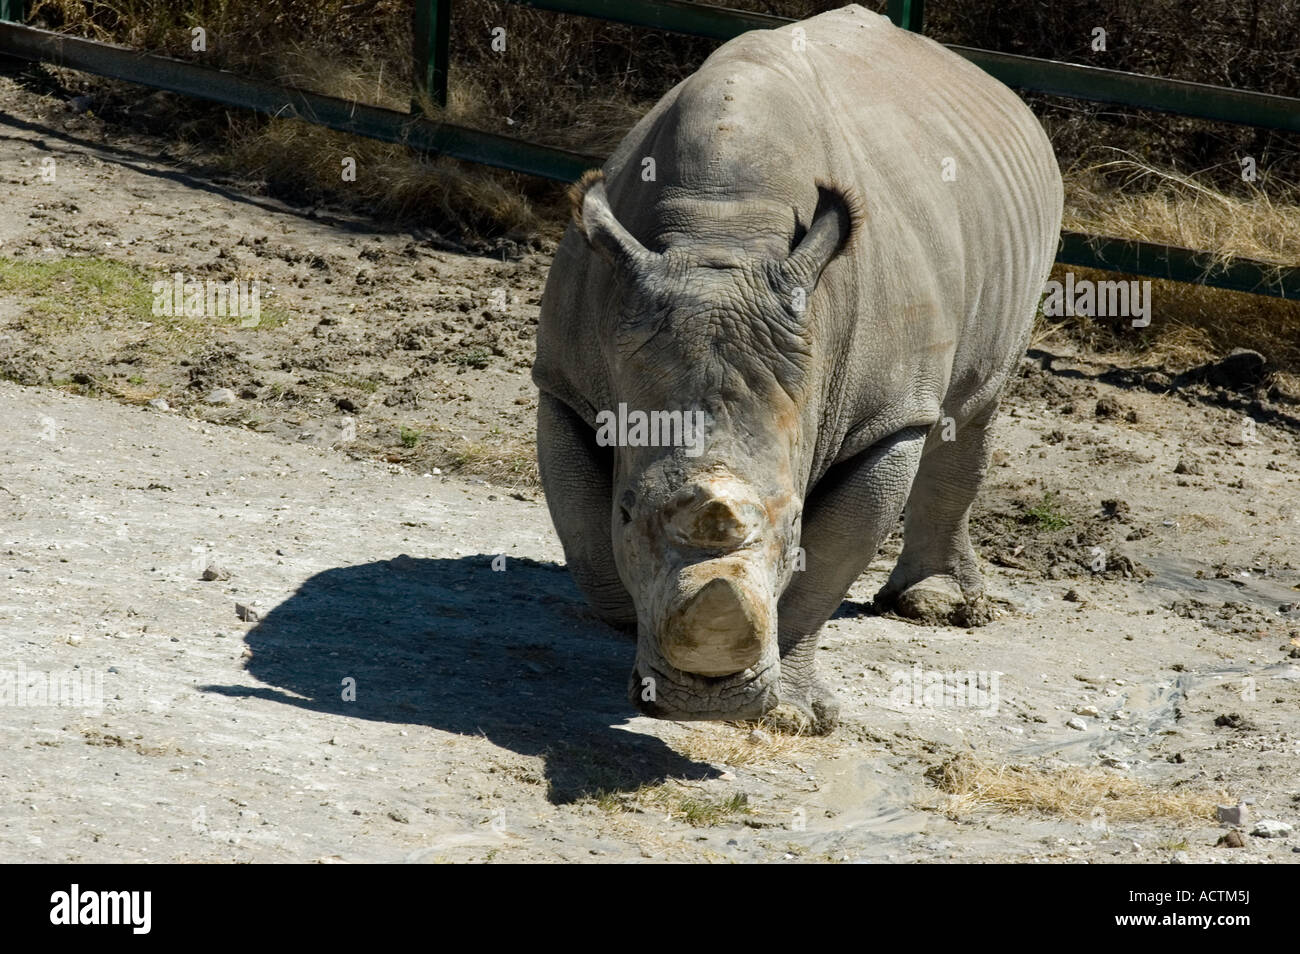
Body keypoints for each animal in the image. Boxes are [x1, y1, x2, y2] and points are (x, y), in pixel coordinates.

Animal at [532, 5, 1062, 732]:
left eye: (791, 523)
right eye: (630, 510)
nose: (704, 701)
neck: (722, 232)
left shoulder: (885, 414)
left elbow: (829, 562)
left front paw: (792, 715)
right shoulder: (566, 379)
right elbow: (583, 523)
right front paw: (622, 622)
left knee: (970, 408)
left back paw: (936, 607)